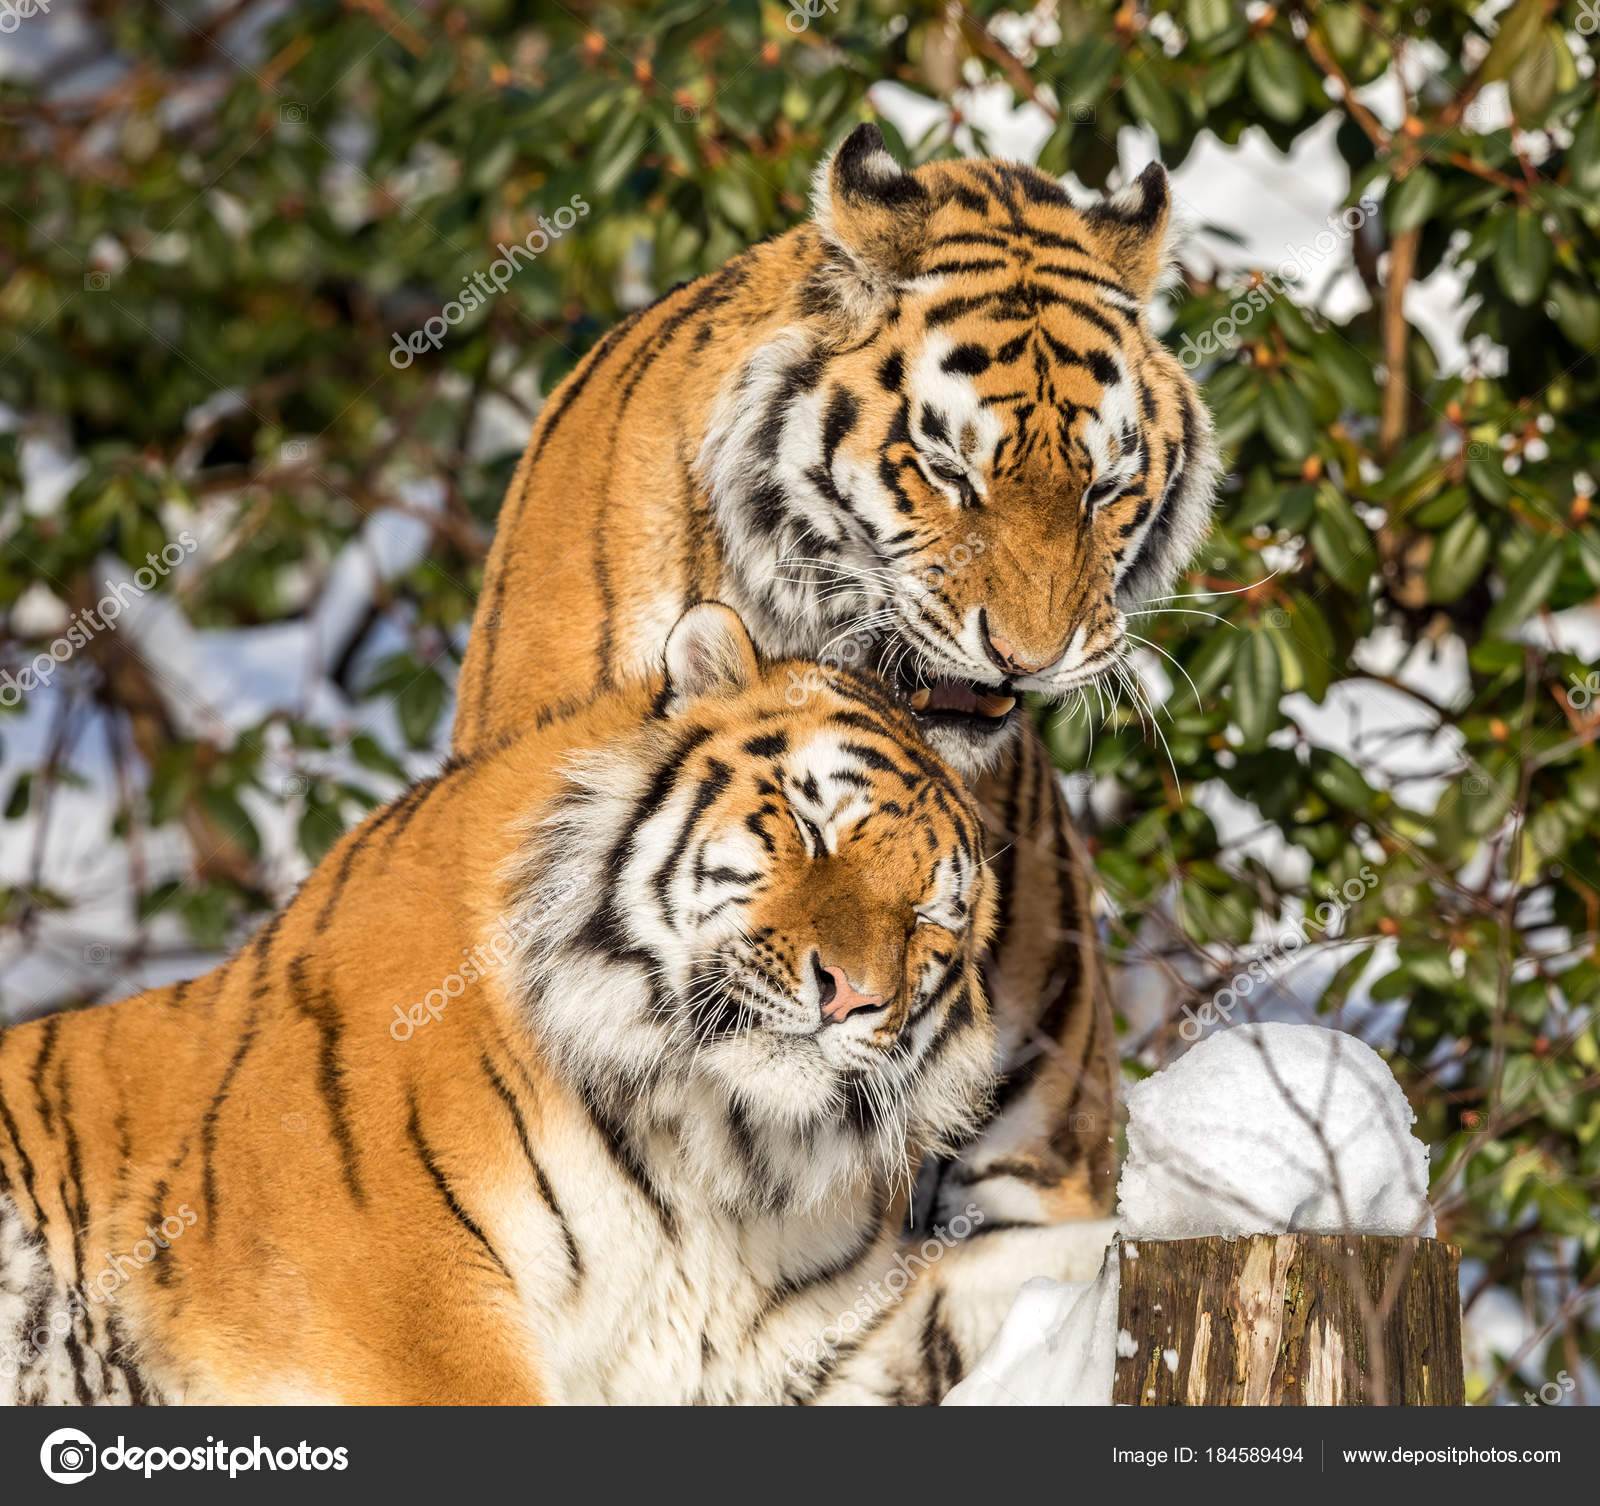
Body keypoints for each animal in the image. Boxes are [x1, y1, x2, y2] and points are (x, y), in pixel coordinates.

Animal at [0, 605, 1113, 1405]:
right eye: (810, 826)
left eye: (927, 914)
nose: (854, 996)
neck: (713, 1147)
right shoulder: (399, 1298)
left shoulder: (800, 1344)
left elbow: (1008, 1278)